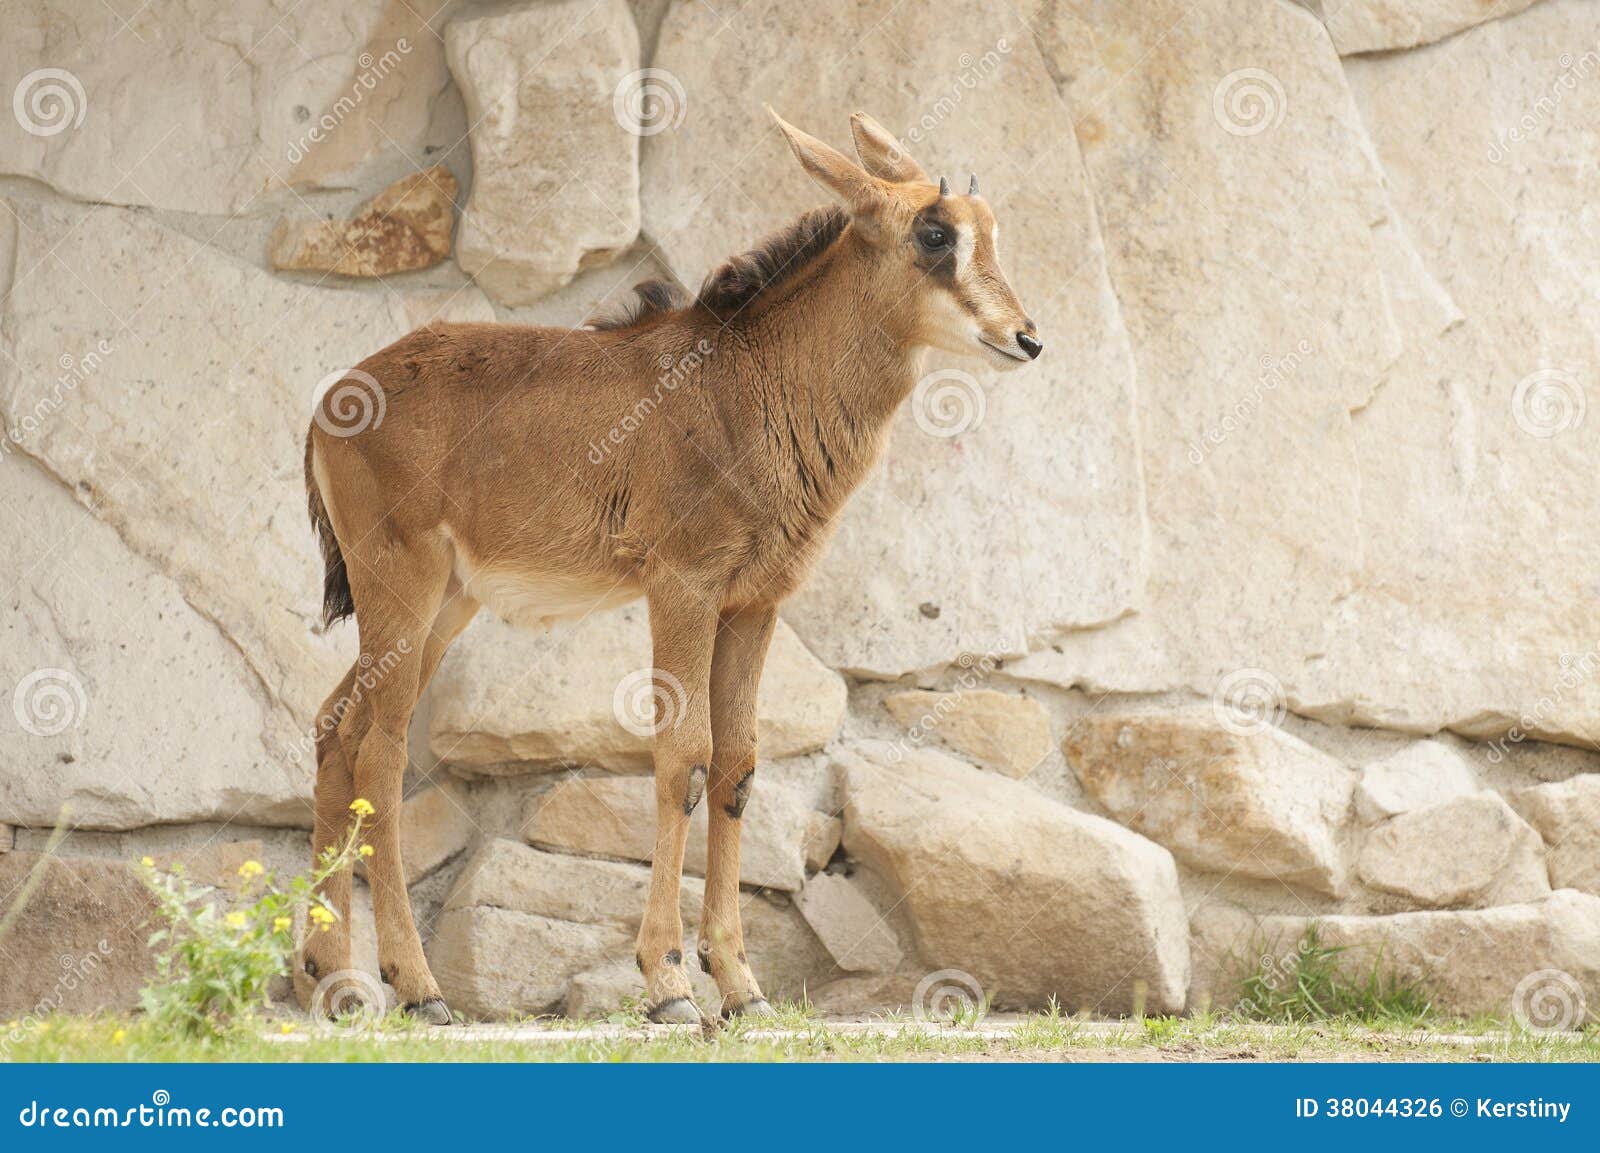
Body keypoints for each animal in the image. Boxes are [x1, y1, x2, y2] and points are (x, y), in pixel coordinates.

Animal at [301, 110, 1041, 1025]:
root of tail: (331, 405)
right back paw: (418, 984)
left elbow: (738, 766)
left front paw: (743, 985)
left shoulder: (754, 604)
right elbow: (681, 757)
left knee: (336, 728)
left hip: (445, 603)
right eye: (935, 233)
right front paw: (670, 983)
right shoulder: (681, 588)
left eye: (990, 227)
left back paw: (330, 975)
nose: (1025, 337)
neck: (749, 382)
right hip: (399, 586)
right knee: (381, 751)